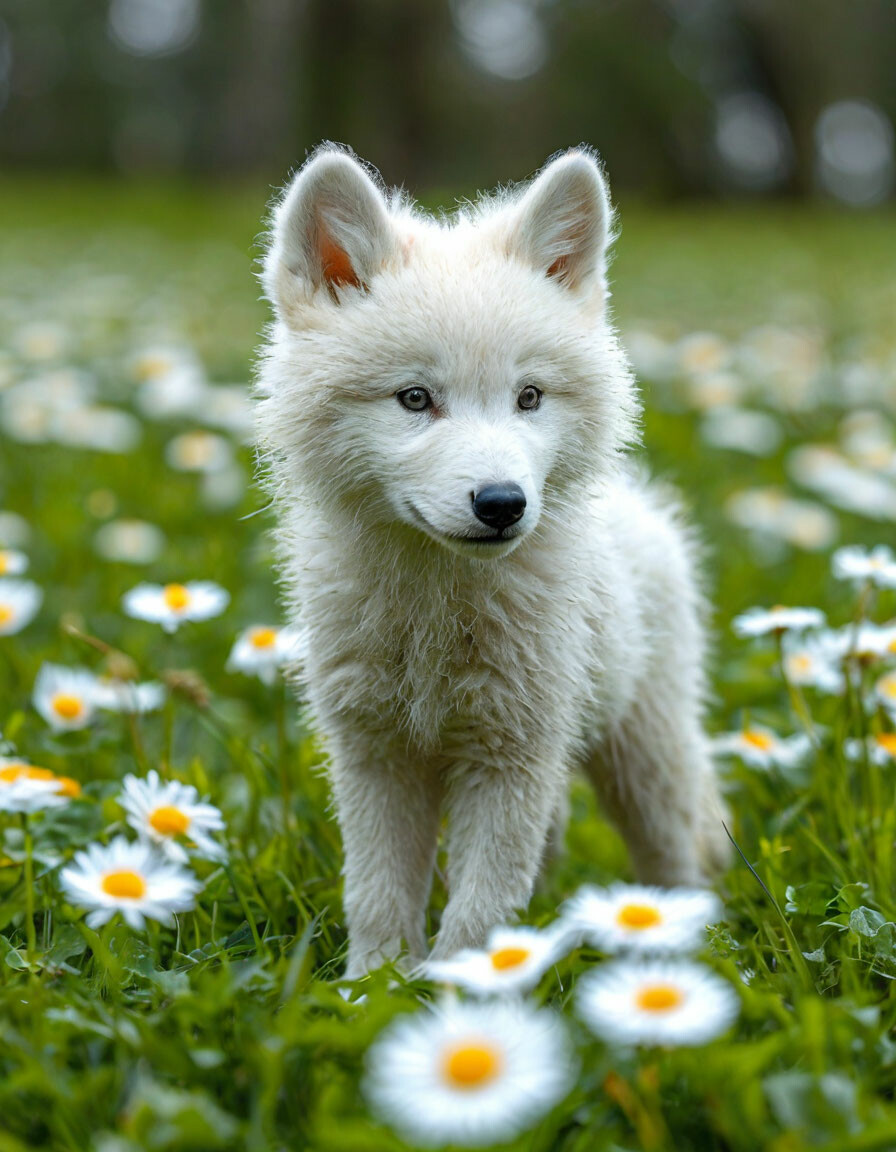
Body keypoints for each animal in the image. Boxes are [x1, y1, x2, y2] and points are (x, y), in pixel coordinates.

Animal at [255, 144, 729, 979]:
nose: (504, 503)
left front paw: (466, 990)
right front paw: (375, 987)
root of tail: (641, 505)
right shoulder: (376, 753)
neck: (436, 604)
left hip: (643, 748)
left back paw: (677, 945)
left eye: (529, 397)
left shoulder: (514, 751)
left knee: (674, 854)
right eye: (415, 399)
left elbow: (479, 911)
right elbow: (378, 895)